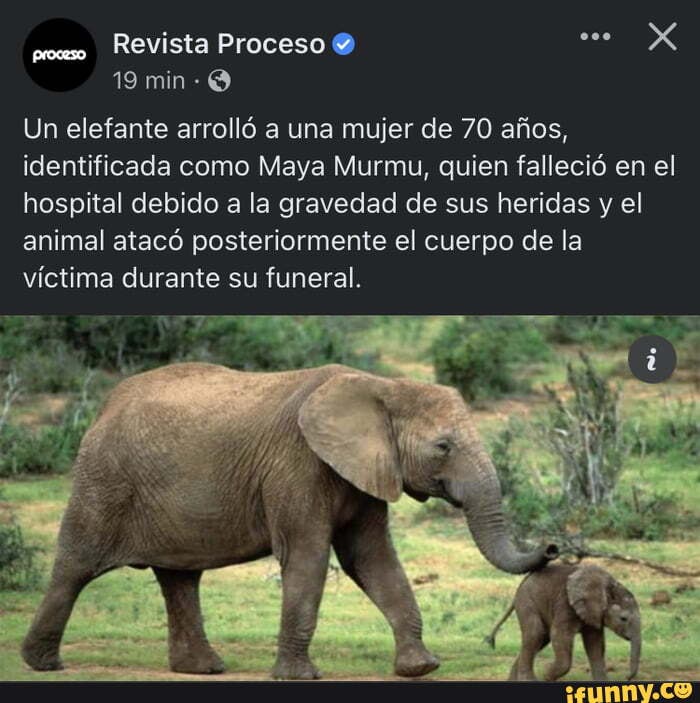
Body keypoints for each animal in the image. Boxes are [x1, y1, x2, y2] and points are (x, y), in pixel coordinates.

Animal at [22, 362, 557, 679]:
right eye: (443, 446)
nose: (553, 548)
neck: (380, 386)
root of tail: (103, 406)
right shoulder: (297, 465)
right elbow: (309, 557)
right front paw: (299, 677)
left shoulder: (361, 469)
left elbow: (372, 559)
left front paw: (421, 668)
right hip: (103, 479)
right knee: (75, 565)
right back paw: (42, 664)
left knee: (180, 578)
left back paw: (203, 669)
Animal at [486, 563, 641, 681]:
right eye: (623, 619)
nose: (627, 677)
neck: (609, 586)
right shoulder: (565, 604)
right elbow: (560, 635)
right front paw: (546, 675)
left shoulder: (593, 613)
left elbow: (595, 645)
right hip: (527, 602)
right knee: (535, 634)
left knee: (541, 639)